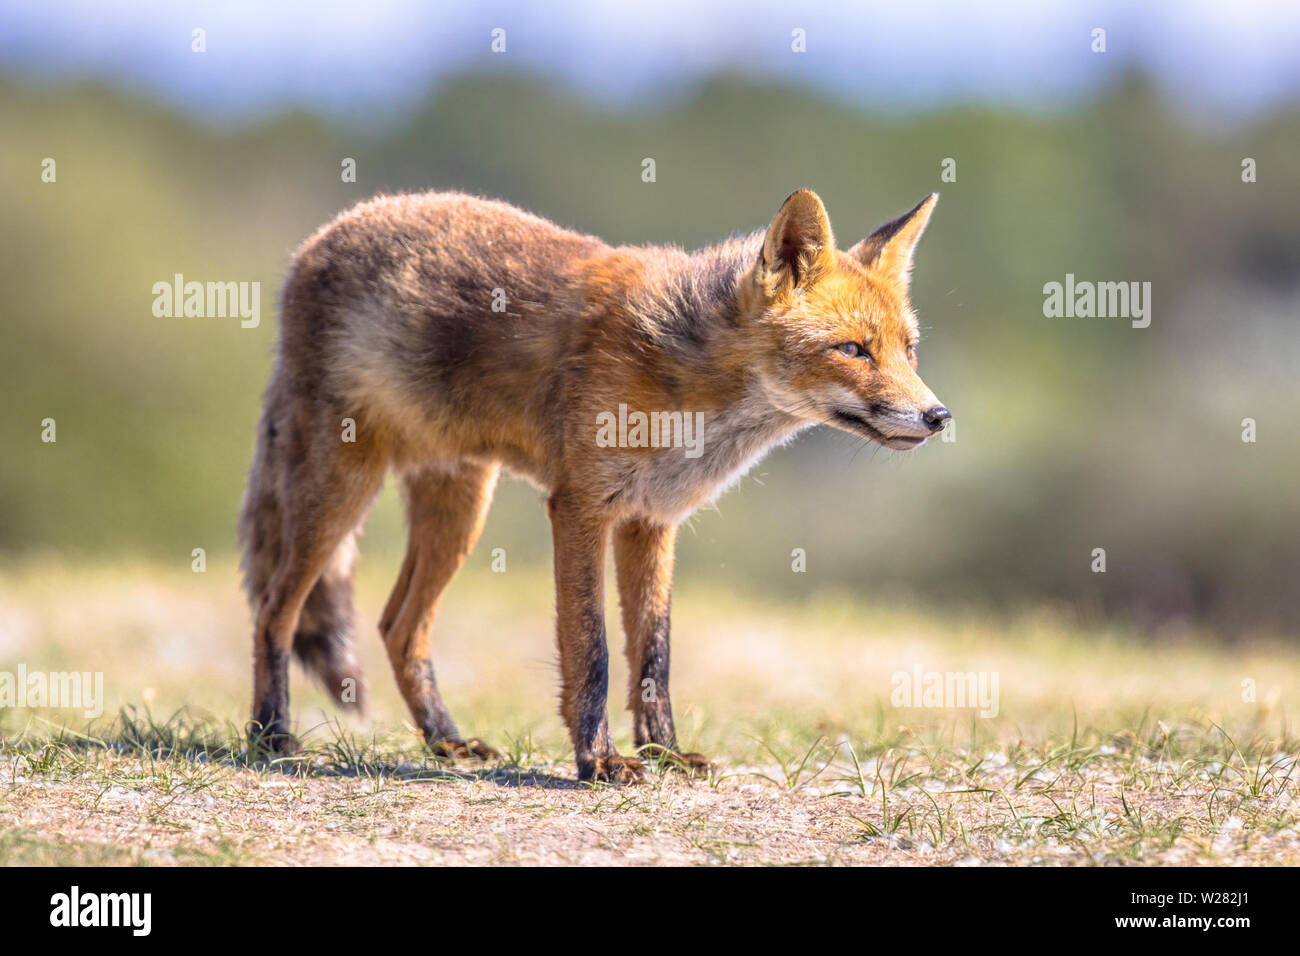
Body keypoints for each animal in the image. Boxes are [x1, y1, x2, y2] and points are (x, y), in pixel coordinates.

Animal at [239, 187, 950, 782]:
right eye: (853, 350)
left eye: (909, 349)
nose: (939, 417)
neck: (688, 381)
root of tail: (322, 236)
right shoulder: (580, 507)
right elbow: (592, 648)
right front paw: (598, 761)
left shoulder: (651, 520)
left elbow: (654, 656)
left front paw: (664, 753)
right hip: (341, 489)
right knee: (275, 609)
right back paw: (271, 735)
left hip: (460, 506)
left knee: (397, 626)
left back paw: (446, 742)